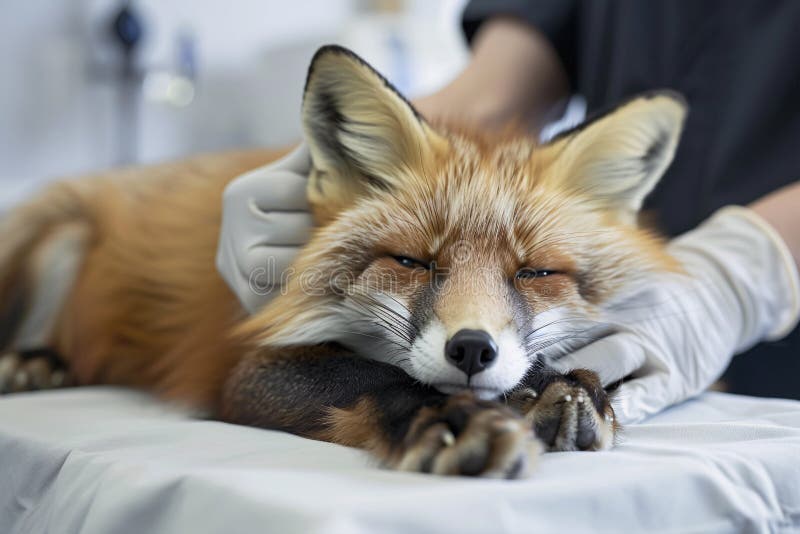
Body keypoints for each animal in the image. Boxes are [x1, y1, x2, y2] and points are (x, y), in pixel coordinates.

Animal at [0, 45, 685, 478]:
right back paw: (33, 363)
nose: (471, 349)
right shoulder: (247, 370)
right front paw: (455, 420)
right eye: (410, 261)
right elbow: (380, 377)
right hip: (59, 236)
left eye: (536, 272)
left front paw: (560, 384)